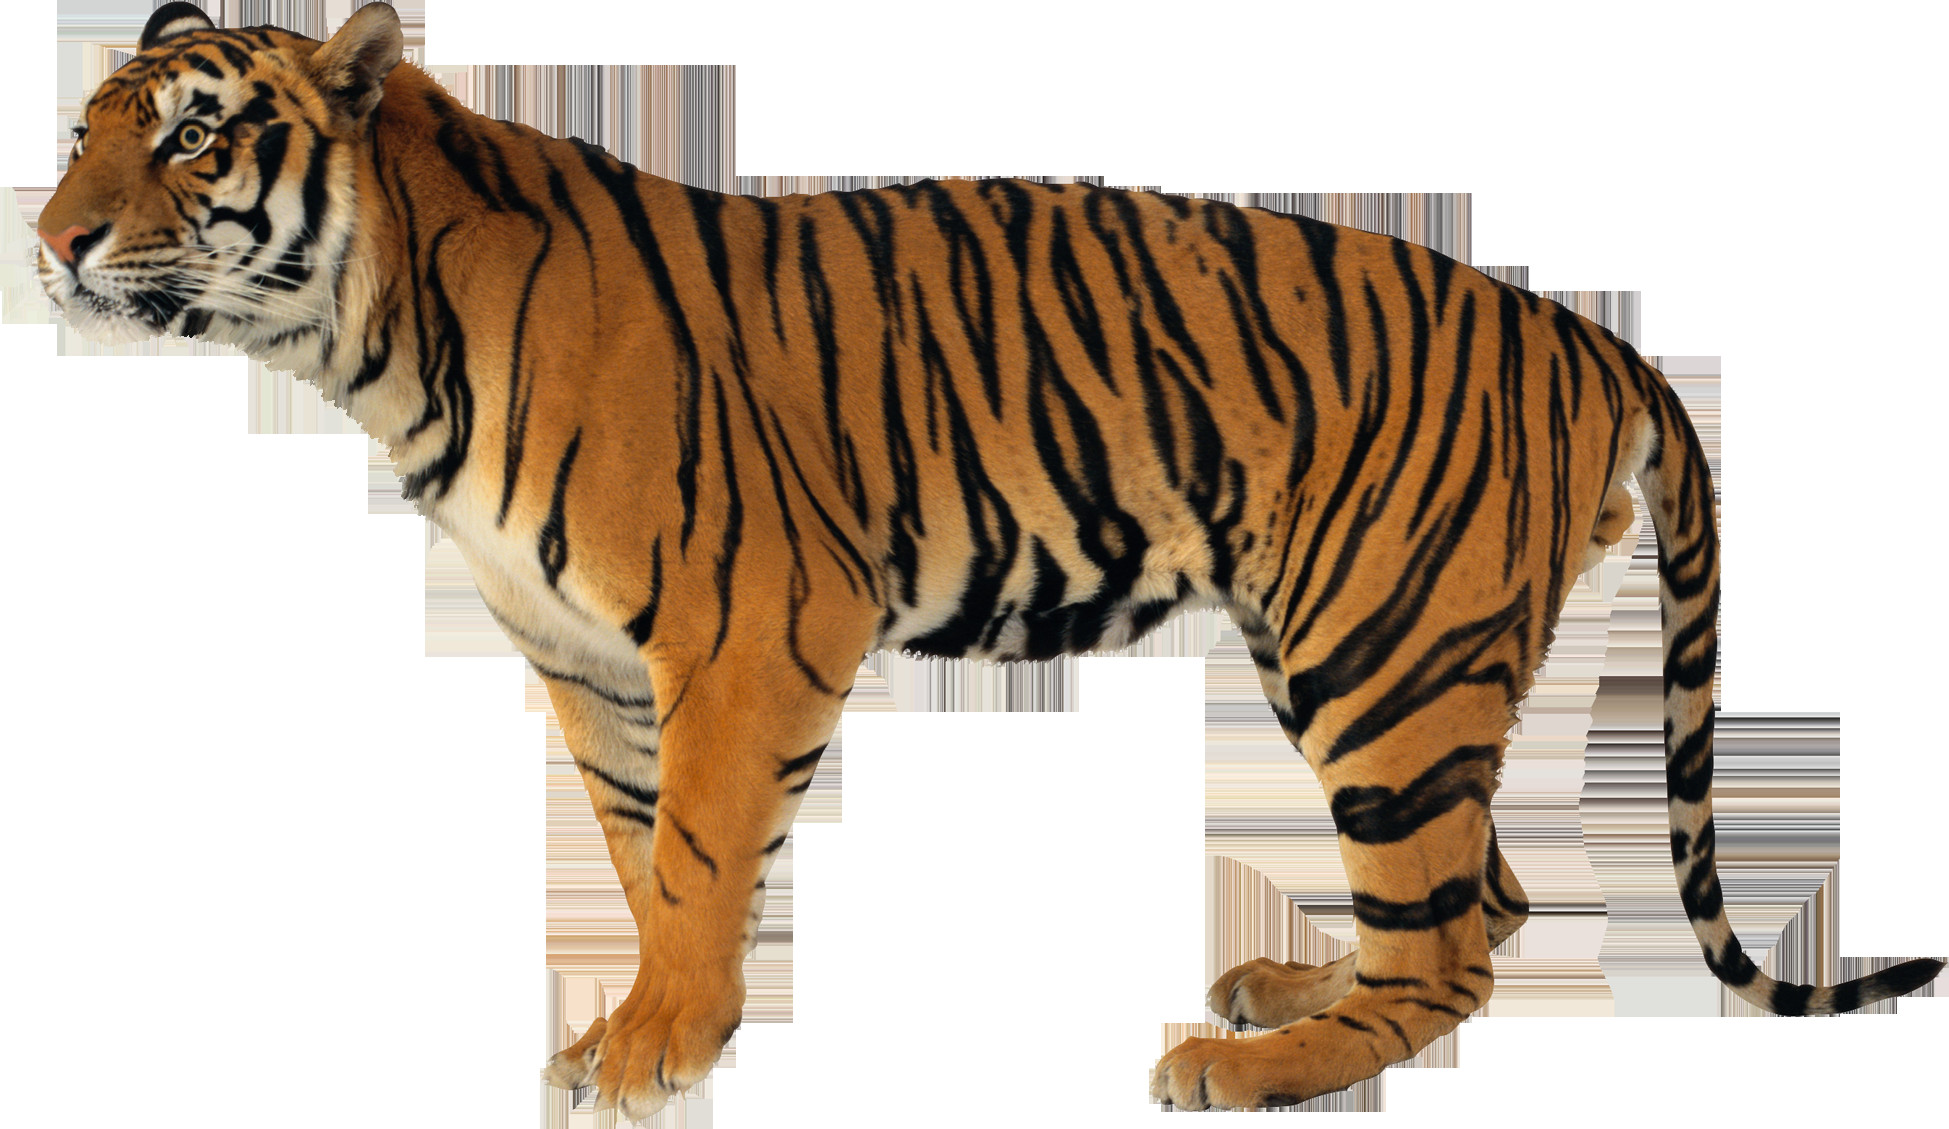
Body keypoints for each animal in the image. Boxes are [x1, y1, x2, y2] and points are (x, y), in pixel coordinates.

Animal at [34, 1, 1943, 1116]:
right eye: (82, 131)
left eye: (193, 134)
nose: (48, 243)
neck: (372, 344)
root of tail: (1588, 328)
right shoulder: (585, 663)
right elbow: (640, 857)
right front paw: (633, 1029)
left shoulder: (749, 626)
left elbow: (702, 853)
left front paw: (657, 1045)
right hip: (1361, 653)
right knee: (1485, 896)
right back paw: (1283, 982)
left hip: (1381, 651)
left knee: (1455, 948)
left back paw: (1247, 1060)